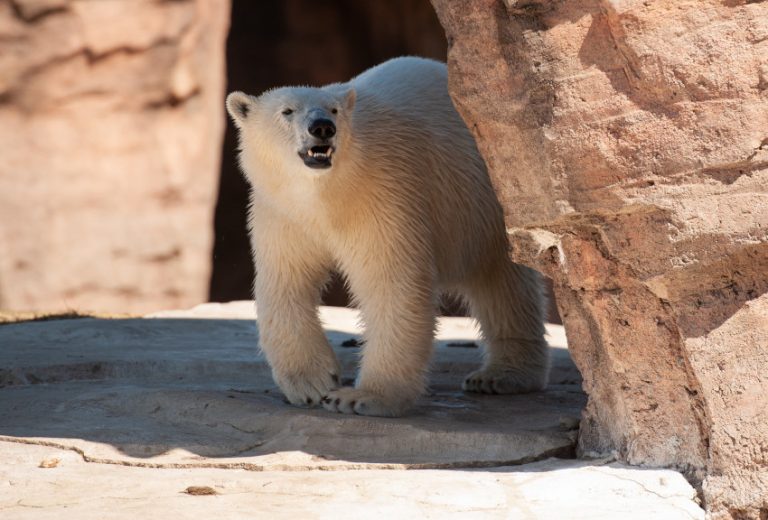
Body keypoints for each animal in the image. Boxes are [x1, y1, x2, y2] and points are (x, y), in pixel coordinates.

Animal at [226, 56, 549, 417]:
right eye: (287, 111)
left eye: (334, 109)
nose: (322, 127)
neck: (326, 193)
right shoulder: (283, 213)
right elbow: (286, 283)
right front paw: (313, 384)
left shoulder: (383, 193)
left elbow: (392, 283)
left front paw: (362, 397)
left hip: (488, 201)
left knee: (503, 281)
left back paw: (500, 376)